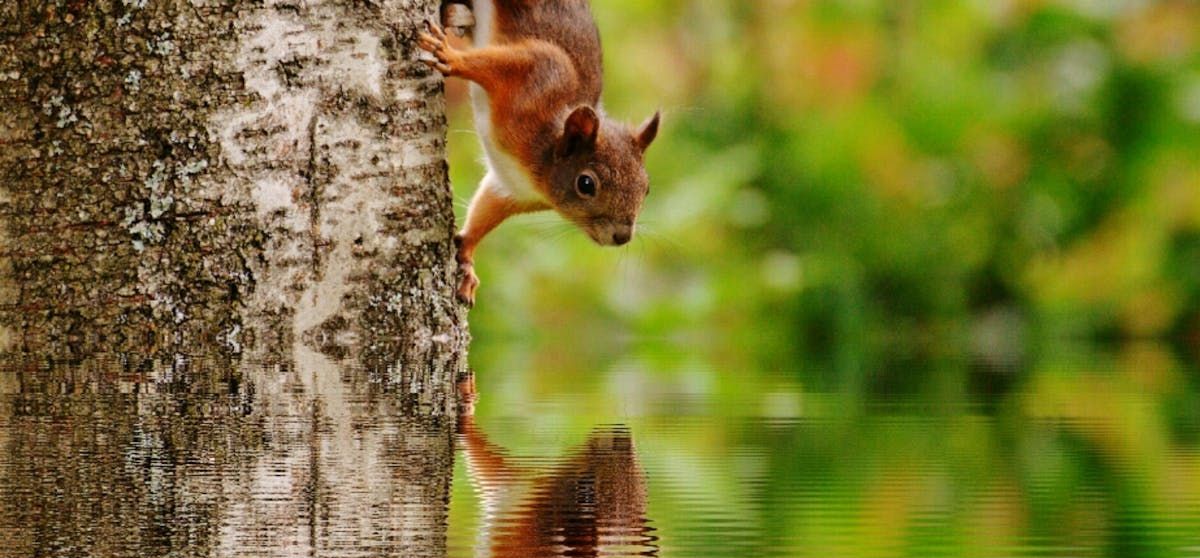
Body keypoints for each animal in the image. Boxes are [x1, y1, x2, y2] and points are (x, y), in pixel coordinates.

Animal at [419, 0, 661, 306]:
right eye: (586, 184)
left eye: (646, 188)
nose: (622, 236)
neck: (538, 168)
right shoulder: (541, 72)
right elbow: (497, 63)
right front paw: (449, 56)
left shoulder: (512, 189)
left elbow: (485, 211)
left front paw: (467, 259)